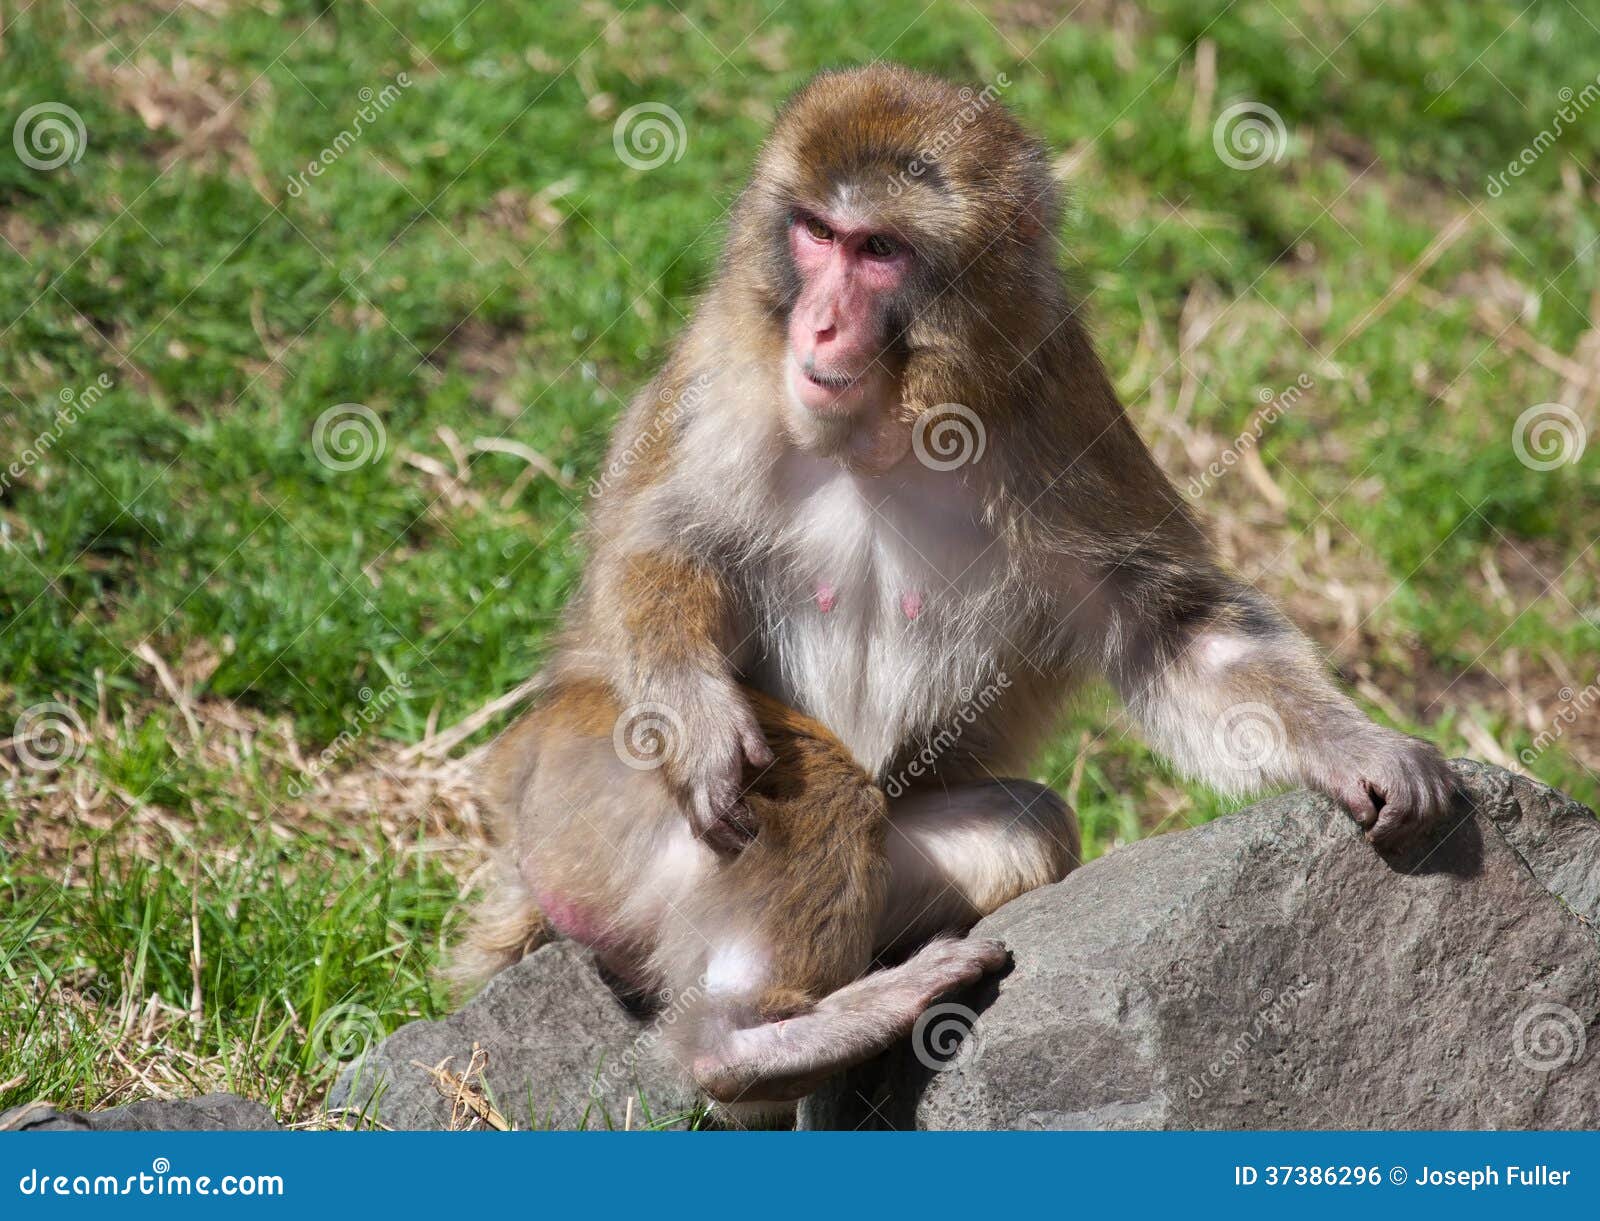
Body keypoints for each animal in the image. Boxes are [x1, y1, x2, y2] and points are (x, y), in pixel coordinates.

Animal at [456, 63, 1456, 1117]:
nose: (819, 322)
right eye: (816, 232)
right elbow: (656, 544)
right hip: (581, 788)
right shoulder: (720, 376)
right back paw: (752, 1043)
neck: (886, 423)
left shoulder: (1054, 398)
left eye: (879, 250)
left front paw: (1358, 748)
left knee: (1026, 829)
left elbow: (1173, 627)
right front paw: (696, 711)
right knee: (813, 782)